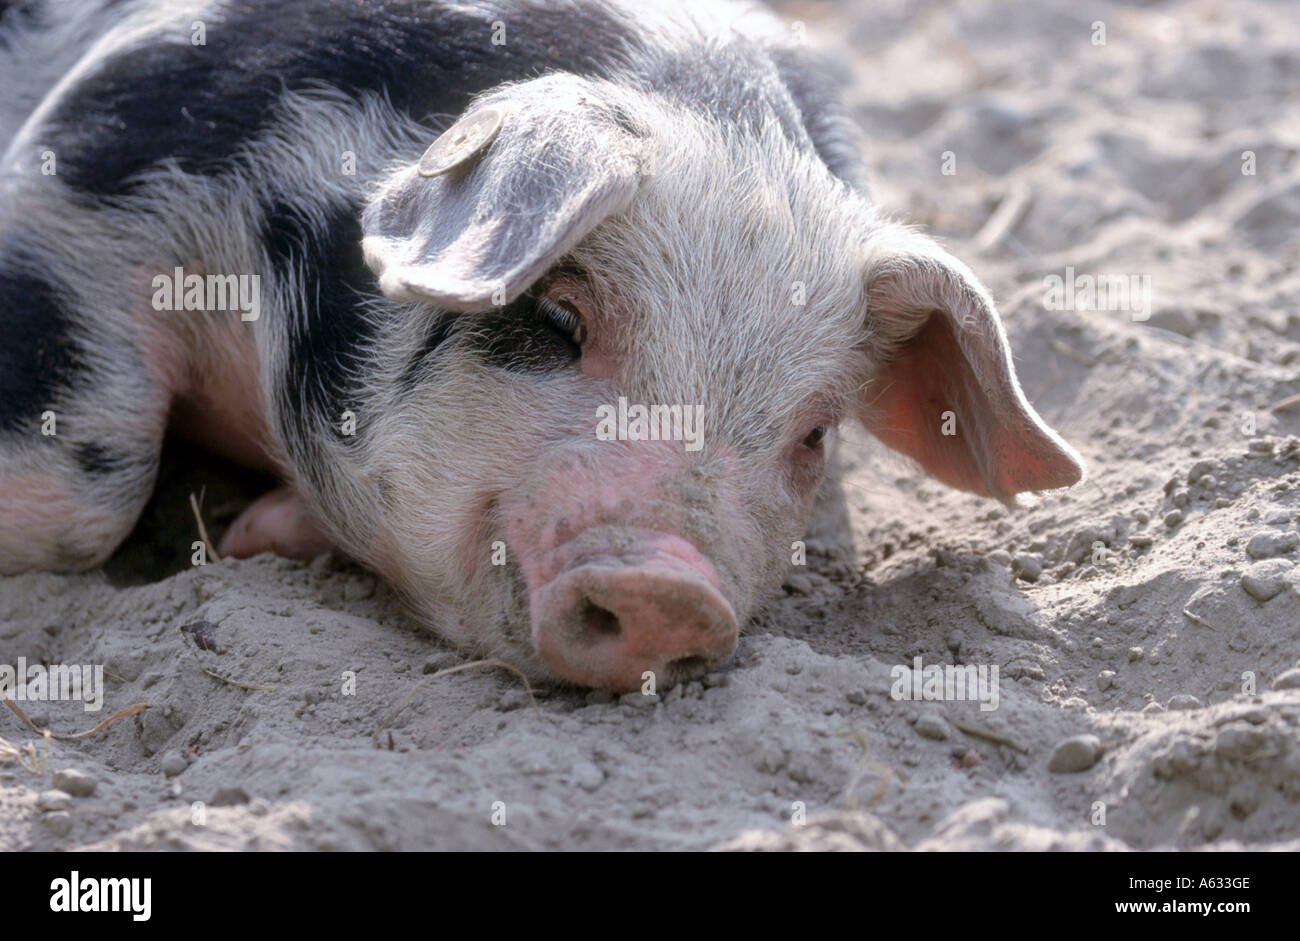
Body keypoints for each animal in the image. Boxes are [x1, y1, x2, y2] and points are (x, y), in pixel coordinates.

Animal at [0, 0, 1083, 691]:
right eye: (557, 318)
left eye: (815, 430)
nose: (666, 584)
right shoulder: (86, 164)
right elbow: (76, 502)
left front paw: (252, 535)